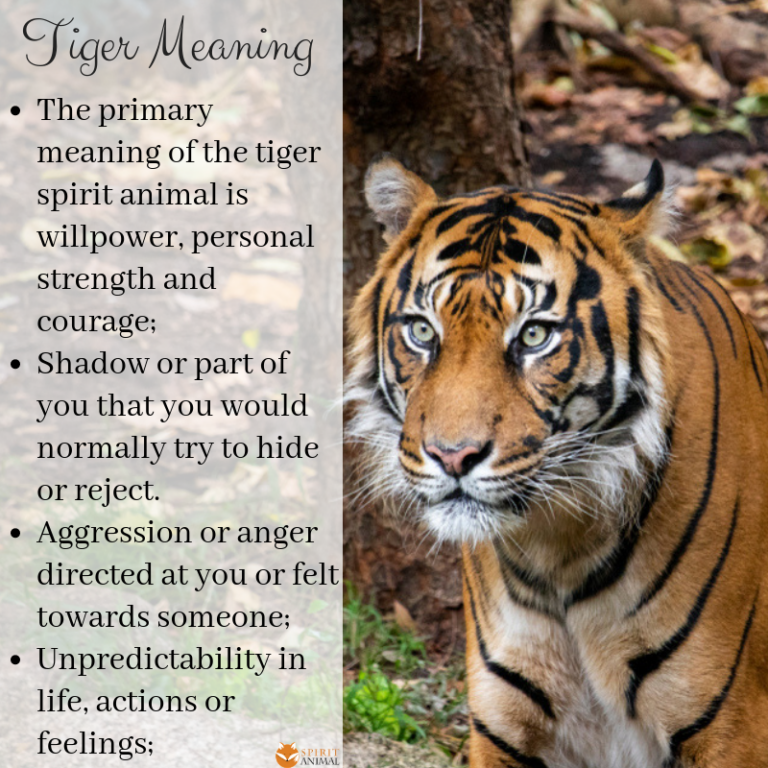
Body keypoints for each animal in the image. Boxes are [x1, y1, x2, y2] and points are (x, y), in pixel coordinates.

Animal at [345, 157, 768, 768]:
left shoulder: (731, 728)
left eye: (535, 335)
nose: (452, 455)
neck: (559, 550)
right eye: (422, 330)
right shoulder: (503, 729)